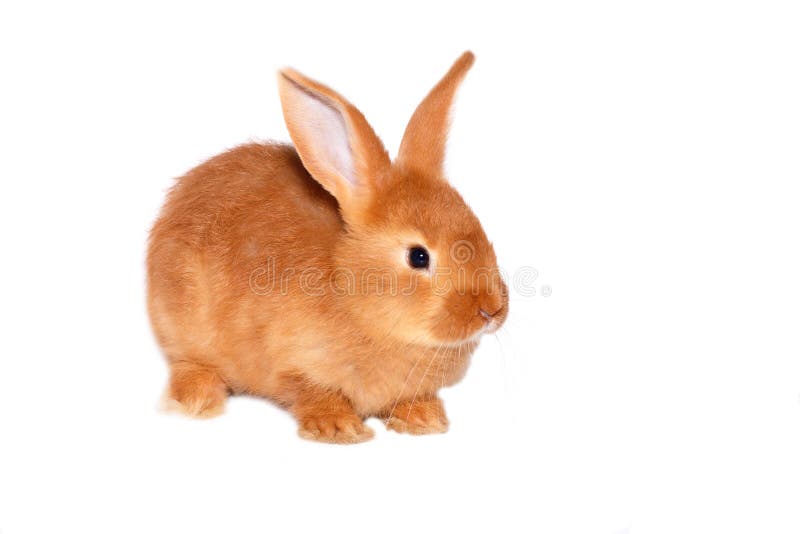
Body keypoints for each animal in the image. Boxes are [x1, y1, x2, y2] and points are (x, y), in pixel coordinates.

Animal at [147, 51, 508, 444]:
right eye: (418, 256)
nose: (491, 309)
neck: (356, 298)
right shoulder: (294, 362)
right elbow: (313, 392)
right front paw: (339, 428)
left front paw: (424, 419)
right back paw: (197, 401)